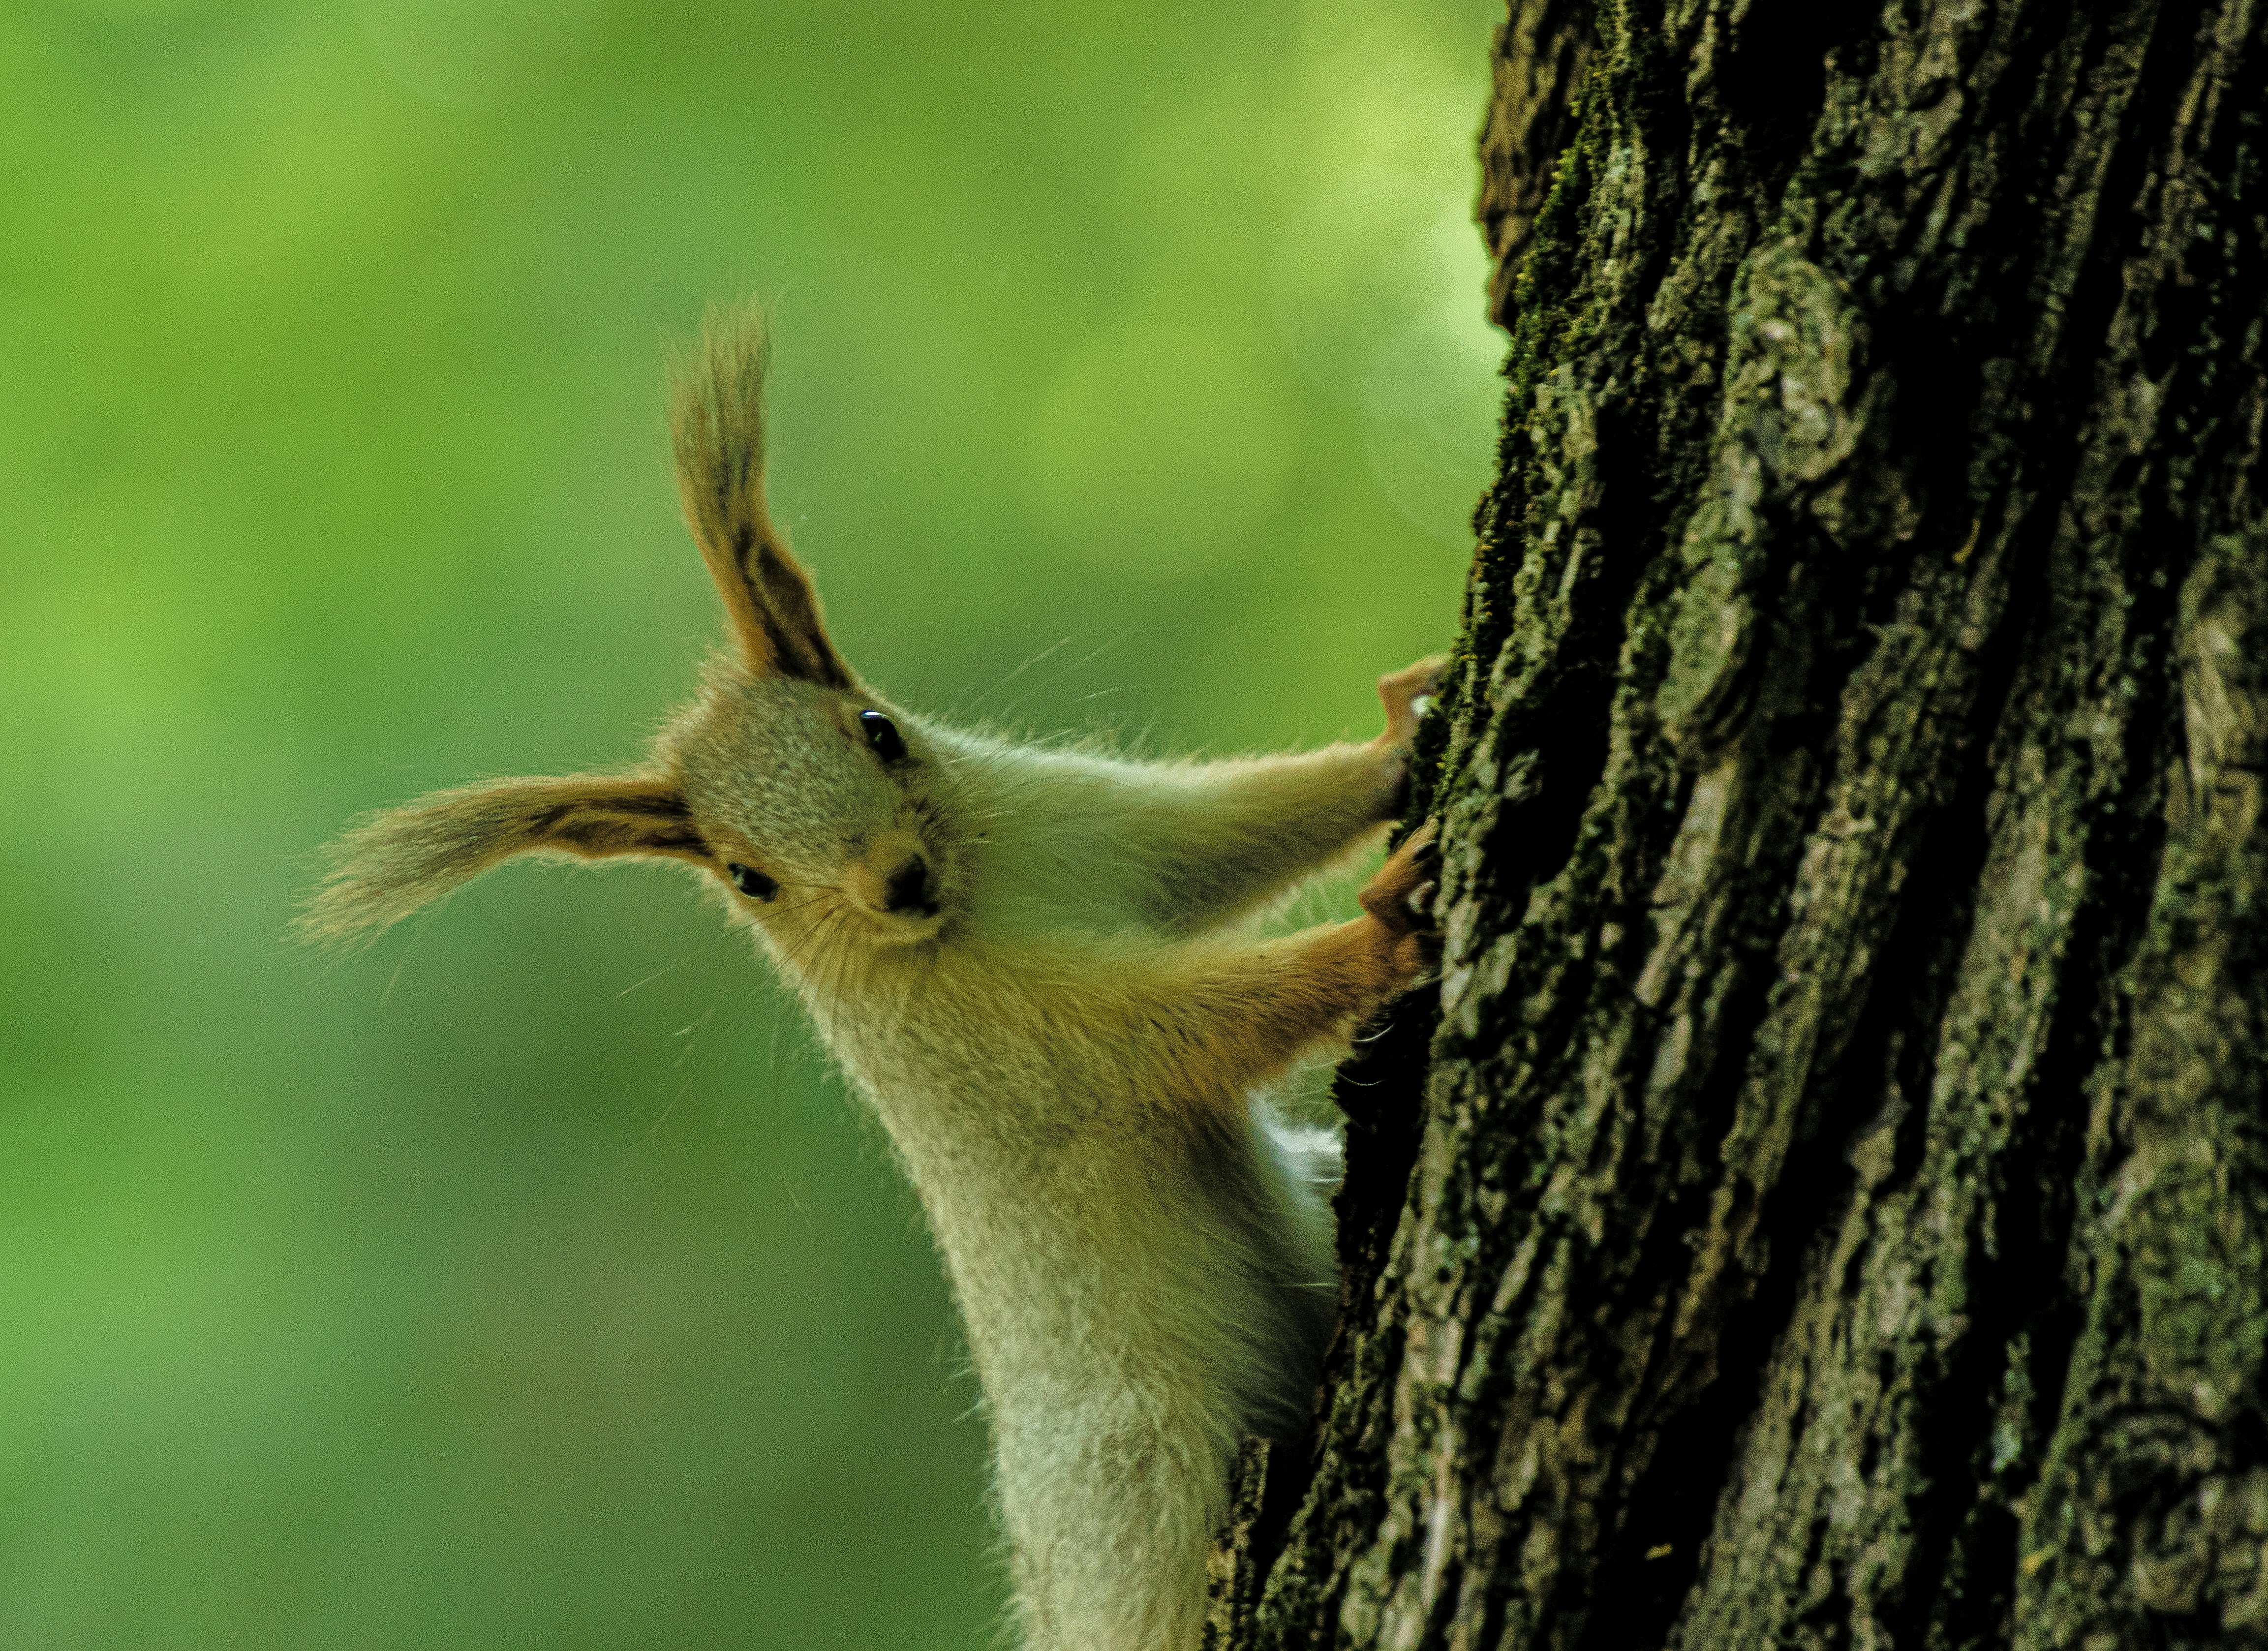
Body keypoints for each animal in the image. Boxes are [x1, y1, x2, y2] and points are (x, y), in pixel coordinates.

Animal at [306, 304, 1444, 1651]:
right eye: (749, 878)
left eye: (877, 727)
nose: (895, 881)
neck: (979, 893)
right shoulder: (999, 1042)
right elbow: (1176, 1030)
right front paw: (1383, 932)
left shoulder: (1085, 825)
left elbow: (1237, 832)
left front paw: (1399, 735)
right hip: (1143, 1474)